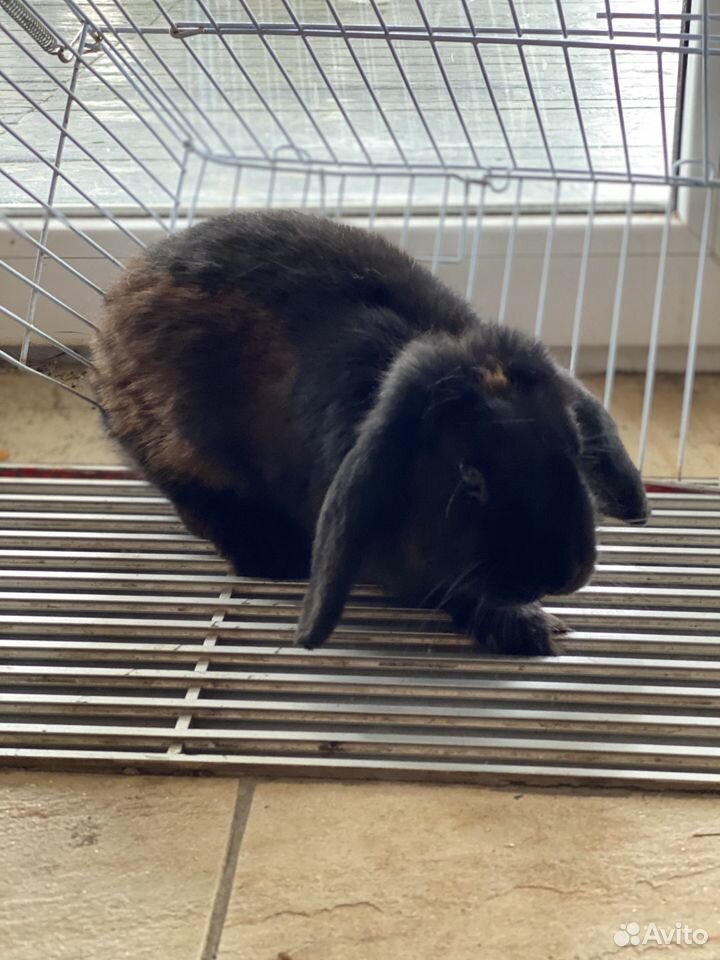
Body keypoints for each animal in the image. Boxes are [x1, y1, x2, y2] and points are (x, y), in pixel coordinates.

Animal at [91, 210, 648, 657]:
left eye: (575, 447)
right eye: (470, 476)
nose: (565, 573)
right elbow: (454, 591)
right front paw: (531, 629)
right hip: (178, 453)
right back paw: (274, 555)